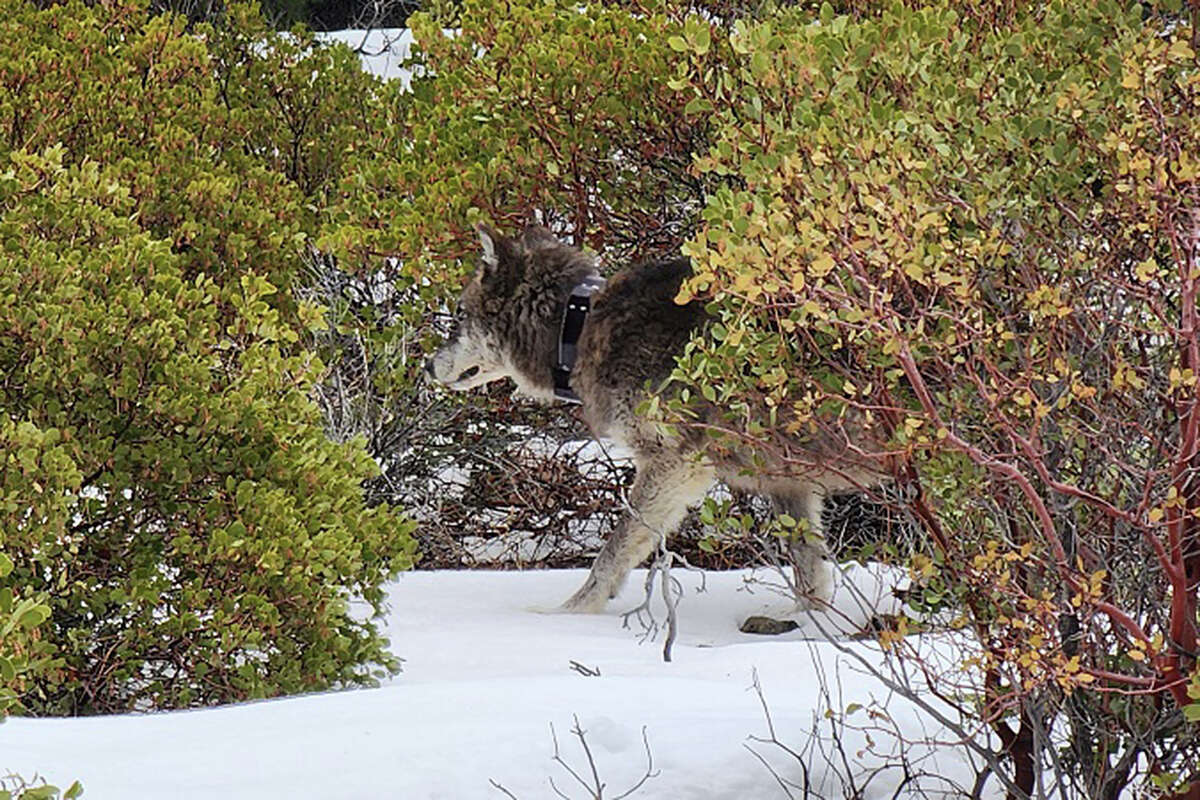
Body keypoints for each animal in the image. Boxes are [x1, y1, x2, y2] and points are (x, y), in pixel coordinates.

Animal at [426, 224, 884, 614]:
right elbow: (810, 571)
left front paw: (570, 614)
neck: (579, 325)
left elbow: (614, 550)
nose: (428, 367)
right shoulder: (787, 481)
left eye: (459, 315)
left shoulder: (674, 465)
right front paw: (806, 624)